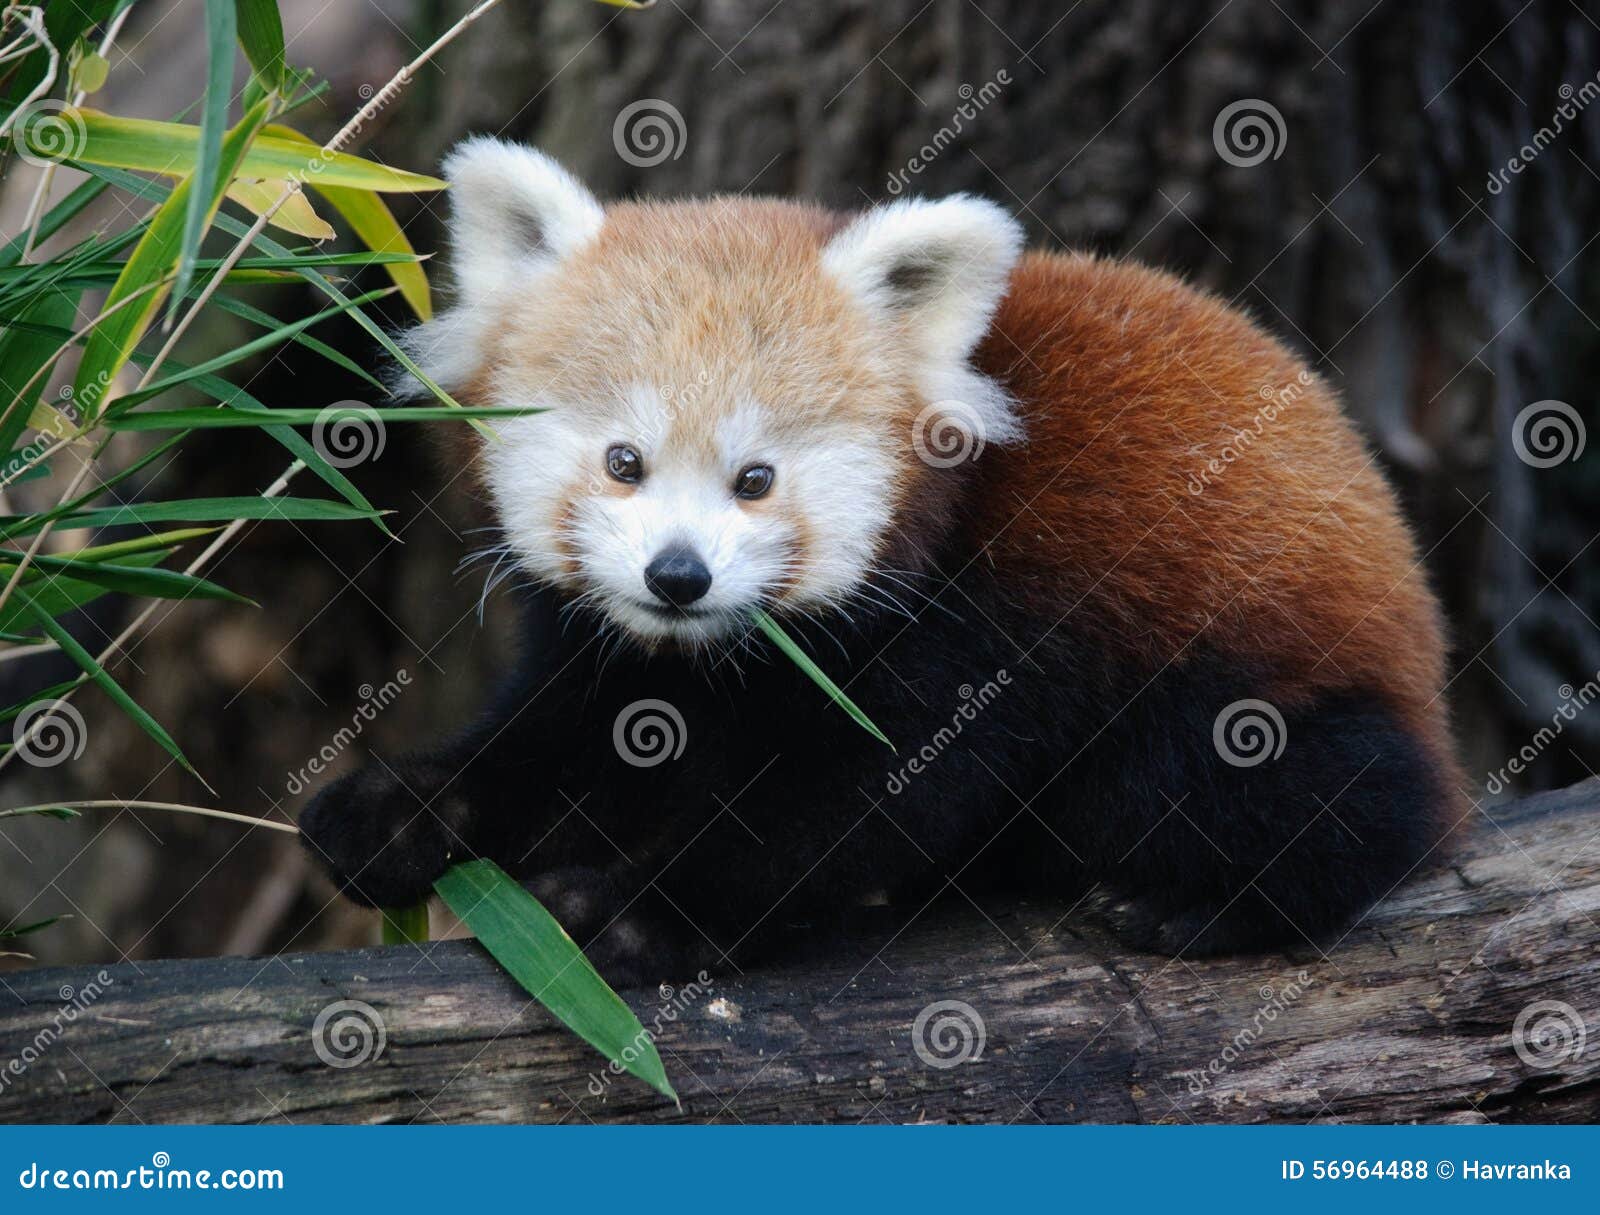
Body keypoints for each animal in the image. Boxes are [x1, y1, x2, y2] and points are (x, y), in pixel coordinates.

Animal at [299, 138, 1463, 985]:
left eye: (756, 479)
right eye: (624, 462)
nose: (678, 576)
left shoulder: (974, 623)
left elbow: (855, 801)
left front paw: (636, 913)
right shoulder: (612, 648)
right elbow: (565, 735)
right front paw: (394, 810)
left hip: (1245, 677)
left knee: (1335, 795)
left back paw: (1200, 903)